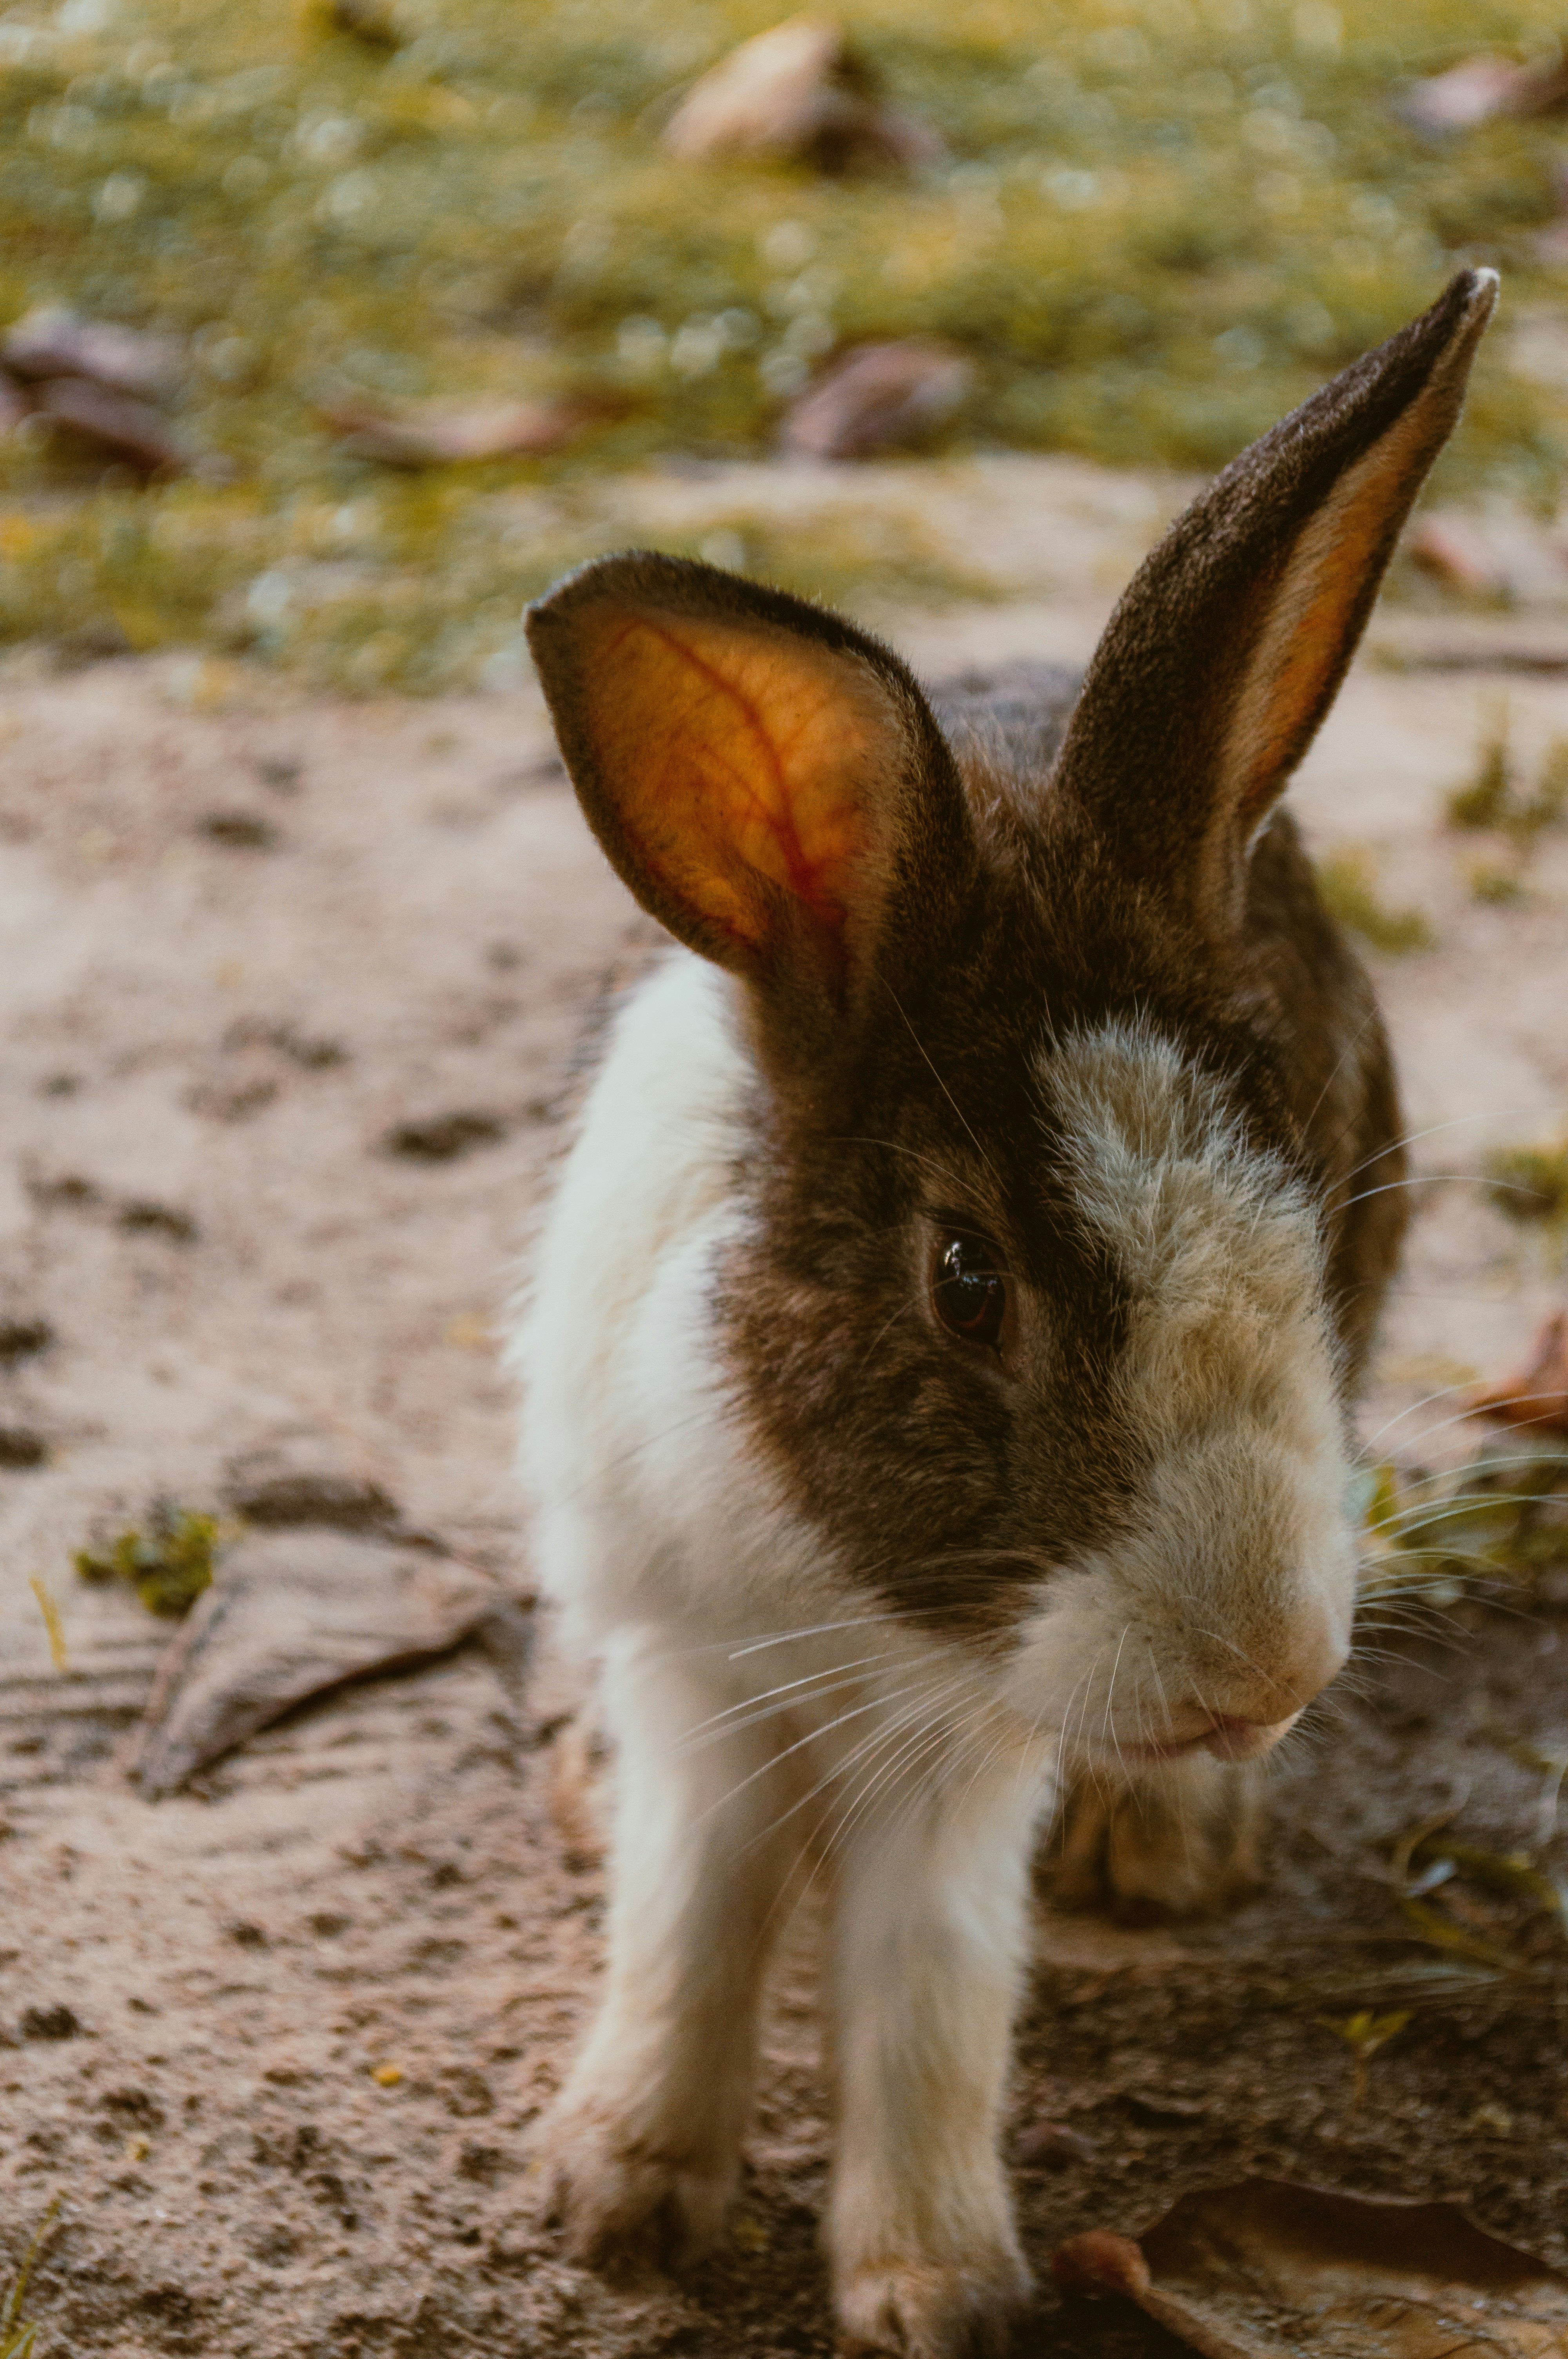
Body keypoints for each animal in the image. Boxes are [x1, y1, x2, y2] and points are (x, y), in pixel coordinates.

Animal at [513, 267, 1497, 2356]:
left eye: (1307, 1196)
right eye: (964, 1280)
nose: (1255, 1673)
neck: (858, 1584)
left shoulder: (964, 1755)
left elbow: (931, 1987)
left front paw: (931, 2290)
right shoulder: (686, 1668)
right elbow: (685, 1916)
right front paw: (619, 2196)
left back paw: (1168, 1841)